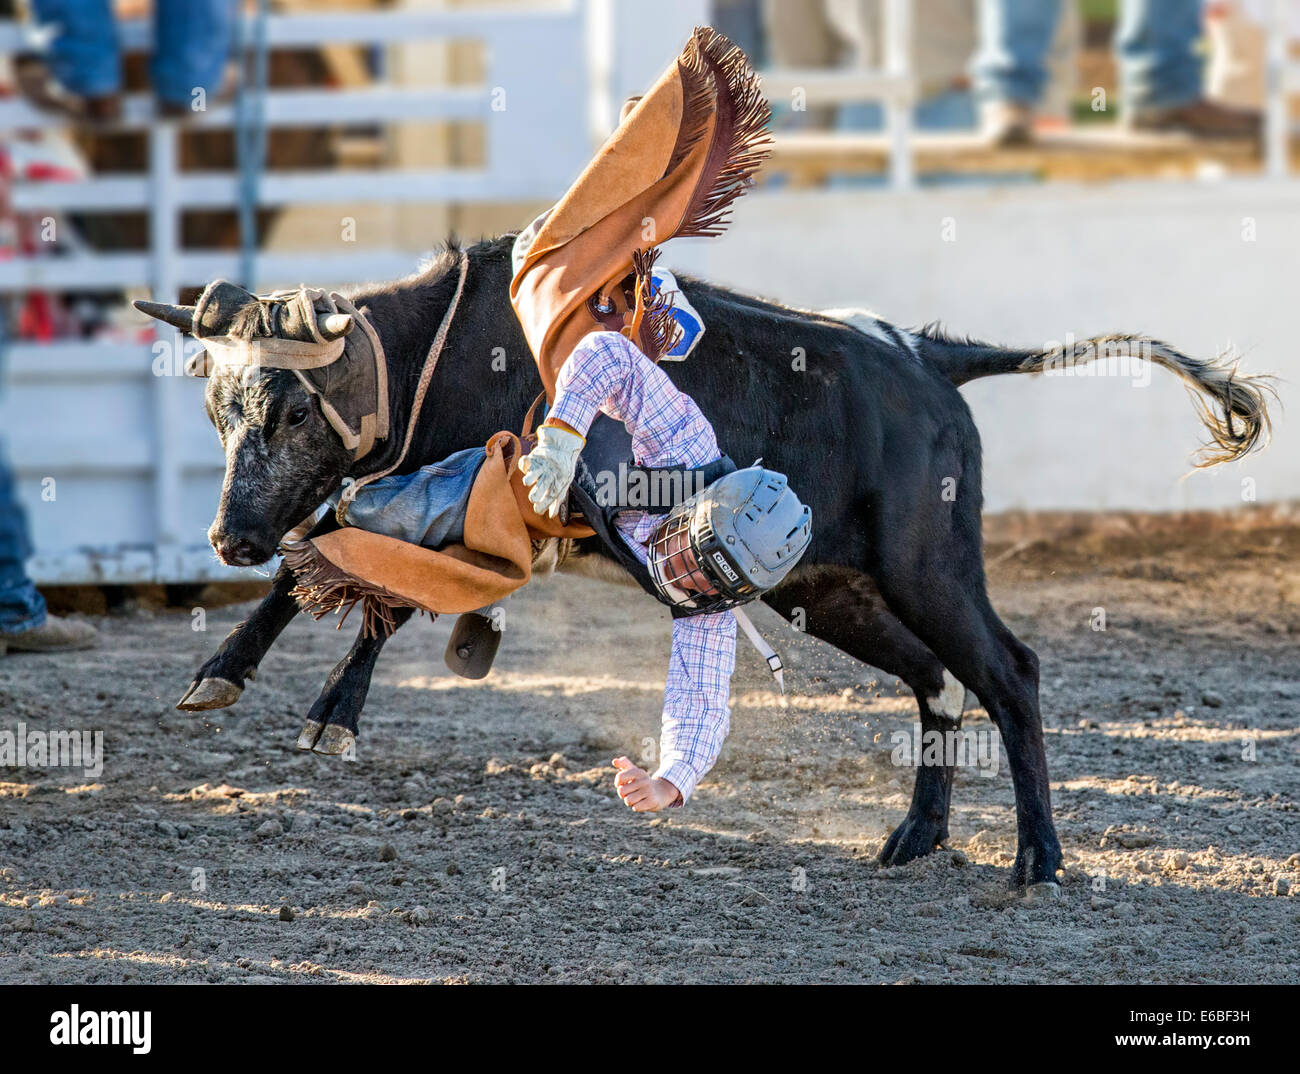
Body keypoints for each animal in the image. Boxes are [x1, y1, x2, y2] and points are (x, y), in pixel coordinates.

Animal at [134, 233, 1273, 891]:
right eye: (218, 410)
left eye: (290, 410)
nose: (227, 538)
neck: (442, 353)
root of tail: (923, 356)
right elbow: (319, 562)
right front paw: (223, 671)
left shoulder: (480, 504)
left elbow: (371, 583)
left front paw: (328, 707)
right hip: (833, 591)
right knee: (933, 679)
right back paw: (916, 837)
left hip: (929, 565)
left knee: (1006, 672)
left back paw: (1038, 858)